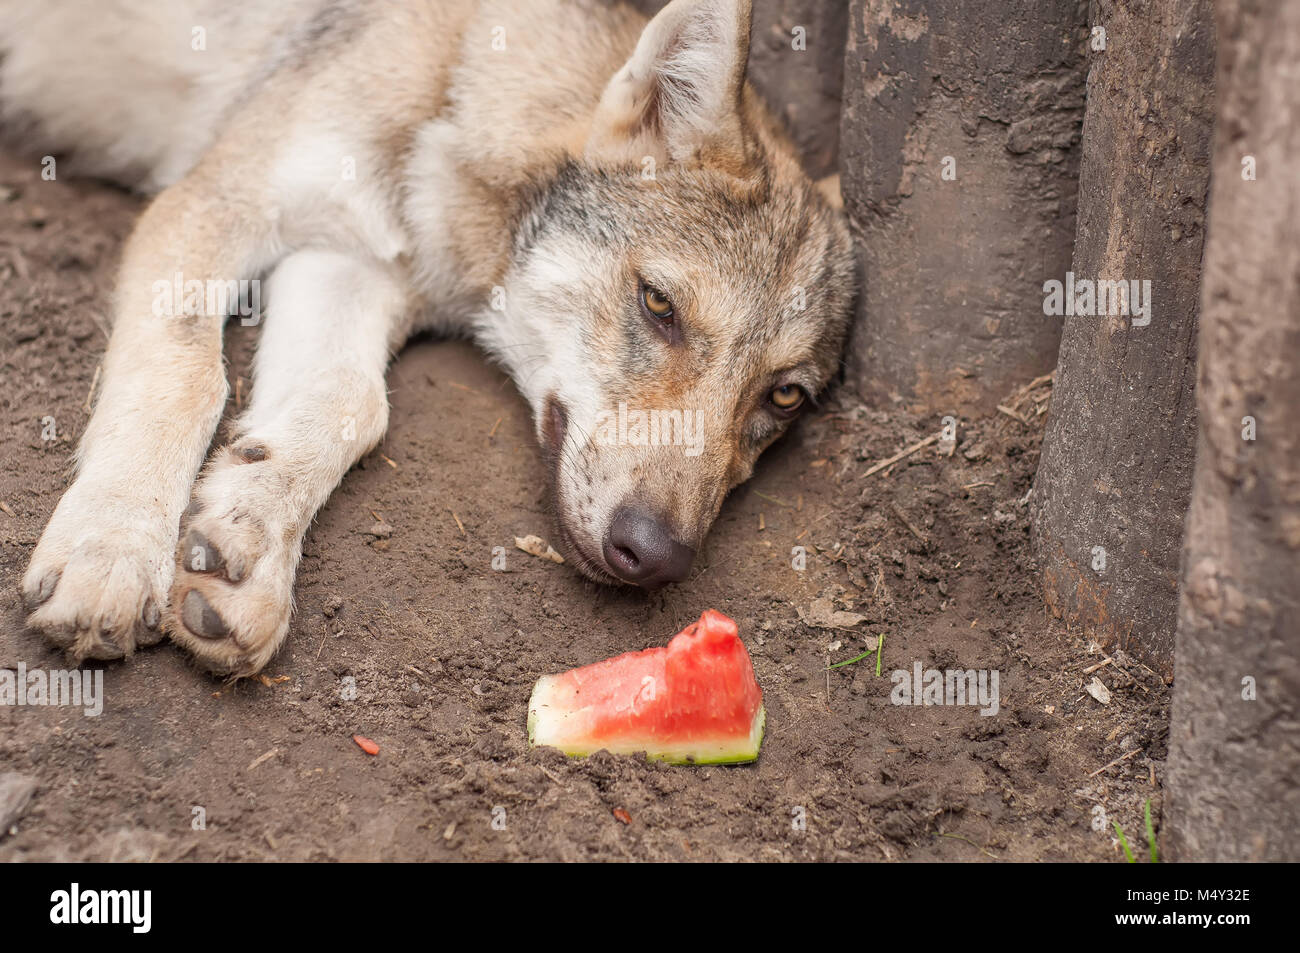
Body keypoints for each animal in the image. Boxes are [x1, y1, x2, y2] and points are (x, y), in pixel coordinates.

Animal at [1, 0, 854, 676]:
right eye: (658, 305)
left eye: (783, 398)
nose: (658, 556)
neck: (453, 83)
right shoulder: (211, 203)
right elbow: (189, 378)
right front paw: (110, 553)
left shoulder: (347, 263)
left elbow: (350, 406)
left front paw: (244, 543)